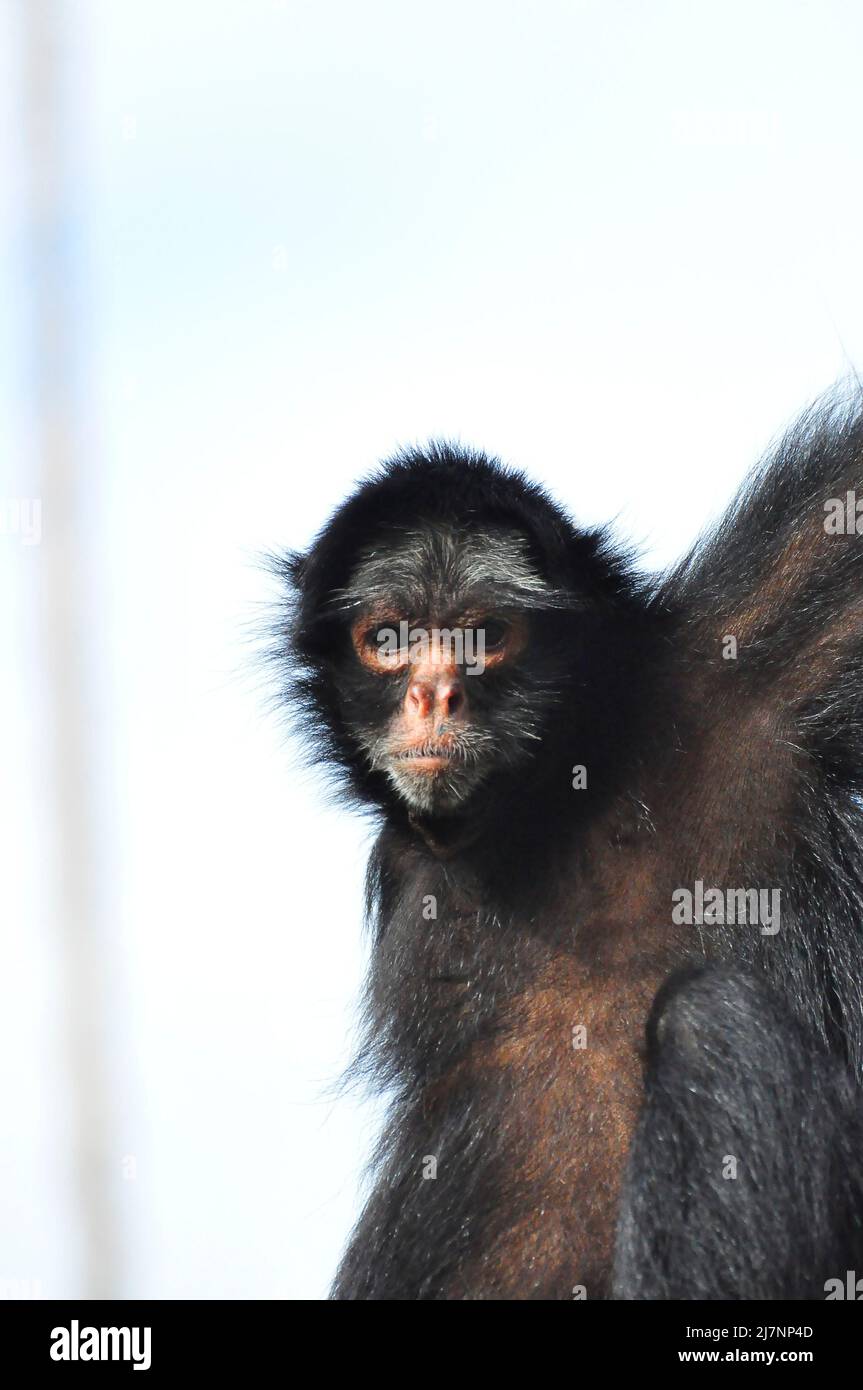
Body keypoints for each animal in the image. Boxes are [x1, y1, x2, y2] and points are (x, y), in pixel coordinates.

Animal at [276, 390, 863, 1299]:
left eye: (485, 634)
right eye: (389, 638)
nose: (434, 693)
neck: (549, 807)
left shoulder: (754, 671)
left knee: (713, 1023)